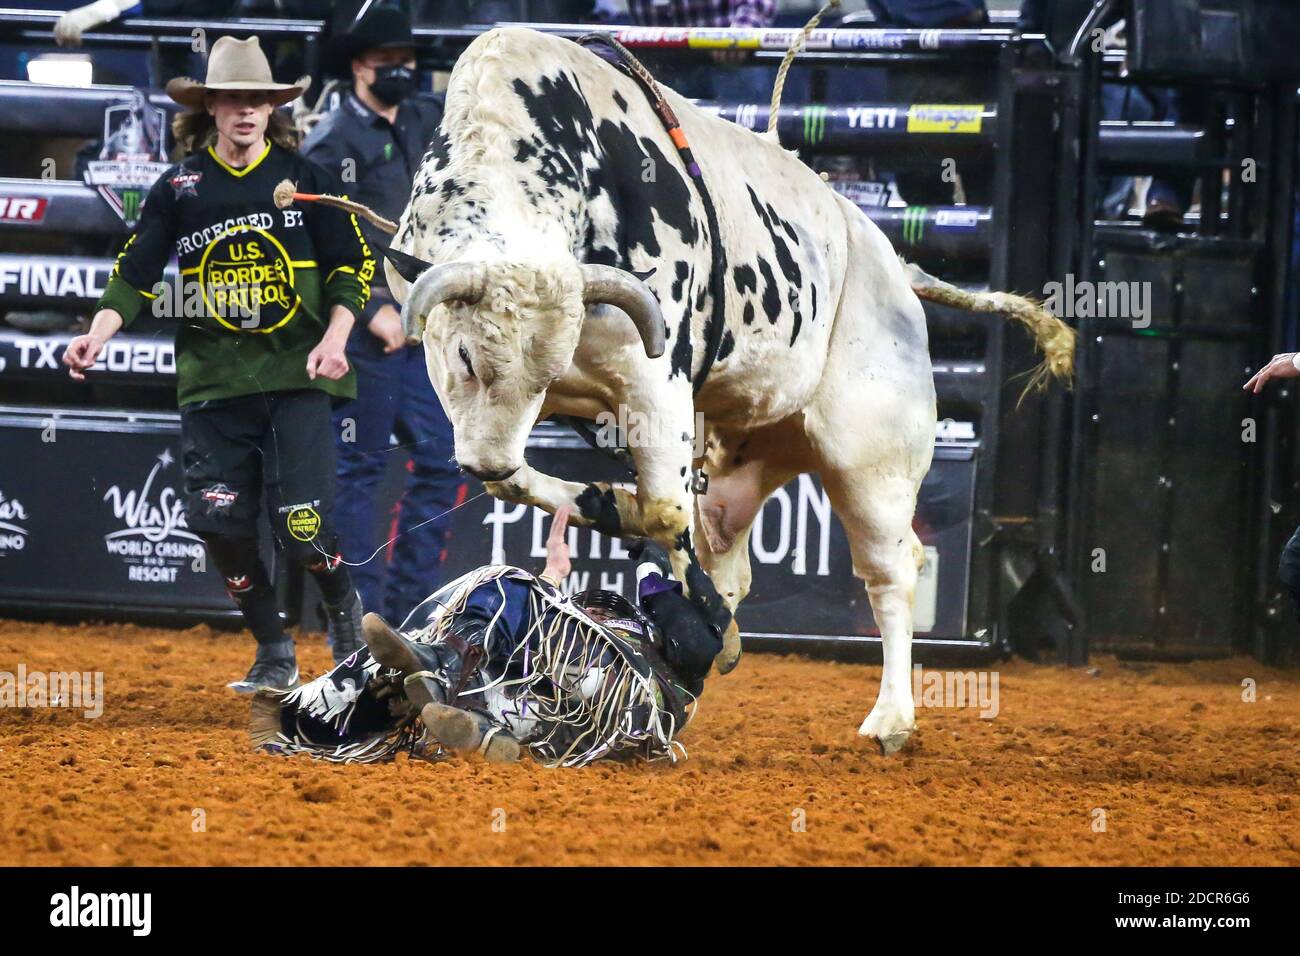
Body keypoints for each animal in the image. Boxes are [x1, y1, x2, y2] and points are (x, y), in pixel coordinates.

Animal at [380, 27, 1073, 755]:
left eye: (543, 371)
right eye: (461, 354)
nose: (484, 459)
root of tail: (898, 267)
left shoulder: (657, 379)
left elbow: (663, 511)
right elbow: (556, 493)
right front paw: (609, 504)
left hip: (872, 457)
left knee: (891, 567)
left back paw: (890, 718)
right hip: (749, 457)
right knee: (729, 554)